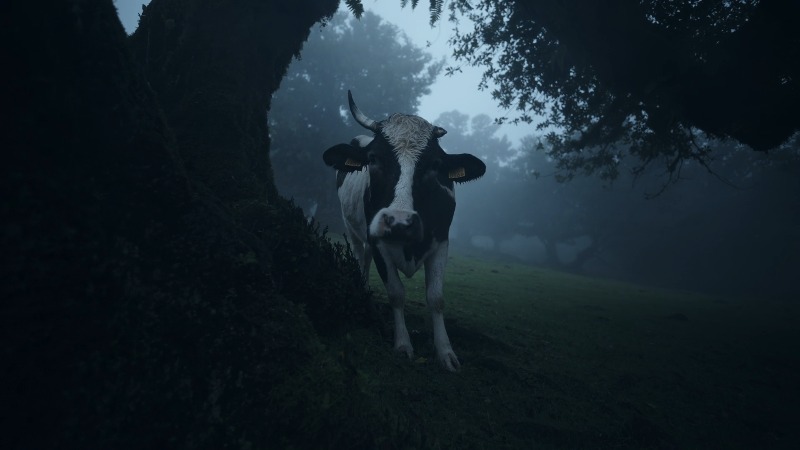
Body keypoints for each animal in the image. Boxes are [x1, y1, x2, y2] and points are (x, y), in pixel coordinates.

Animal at [323, 91, 486, 371]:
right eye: (373, 159)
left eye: (435, 165)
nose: (399, 220)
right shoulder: (378, 242)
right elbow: (396, 293)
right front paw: (403, 345)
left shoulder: (442, 243)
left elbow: (436, 297)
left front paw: (445, 352)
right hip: (351, 228)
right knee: (360, 257)